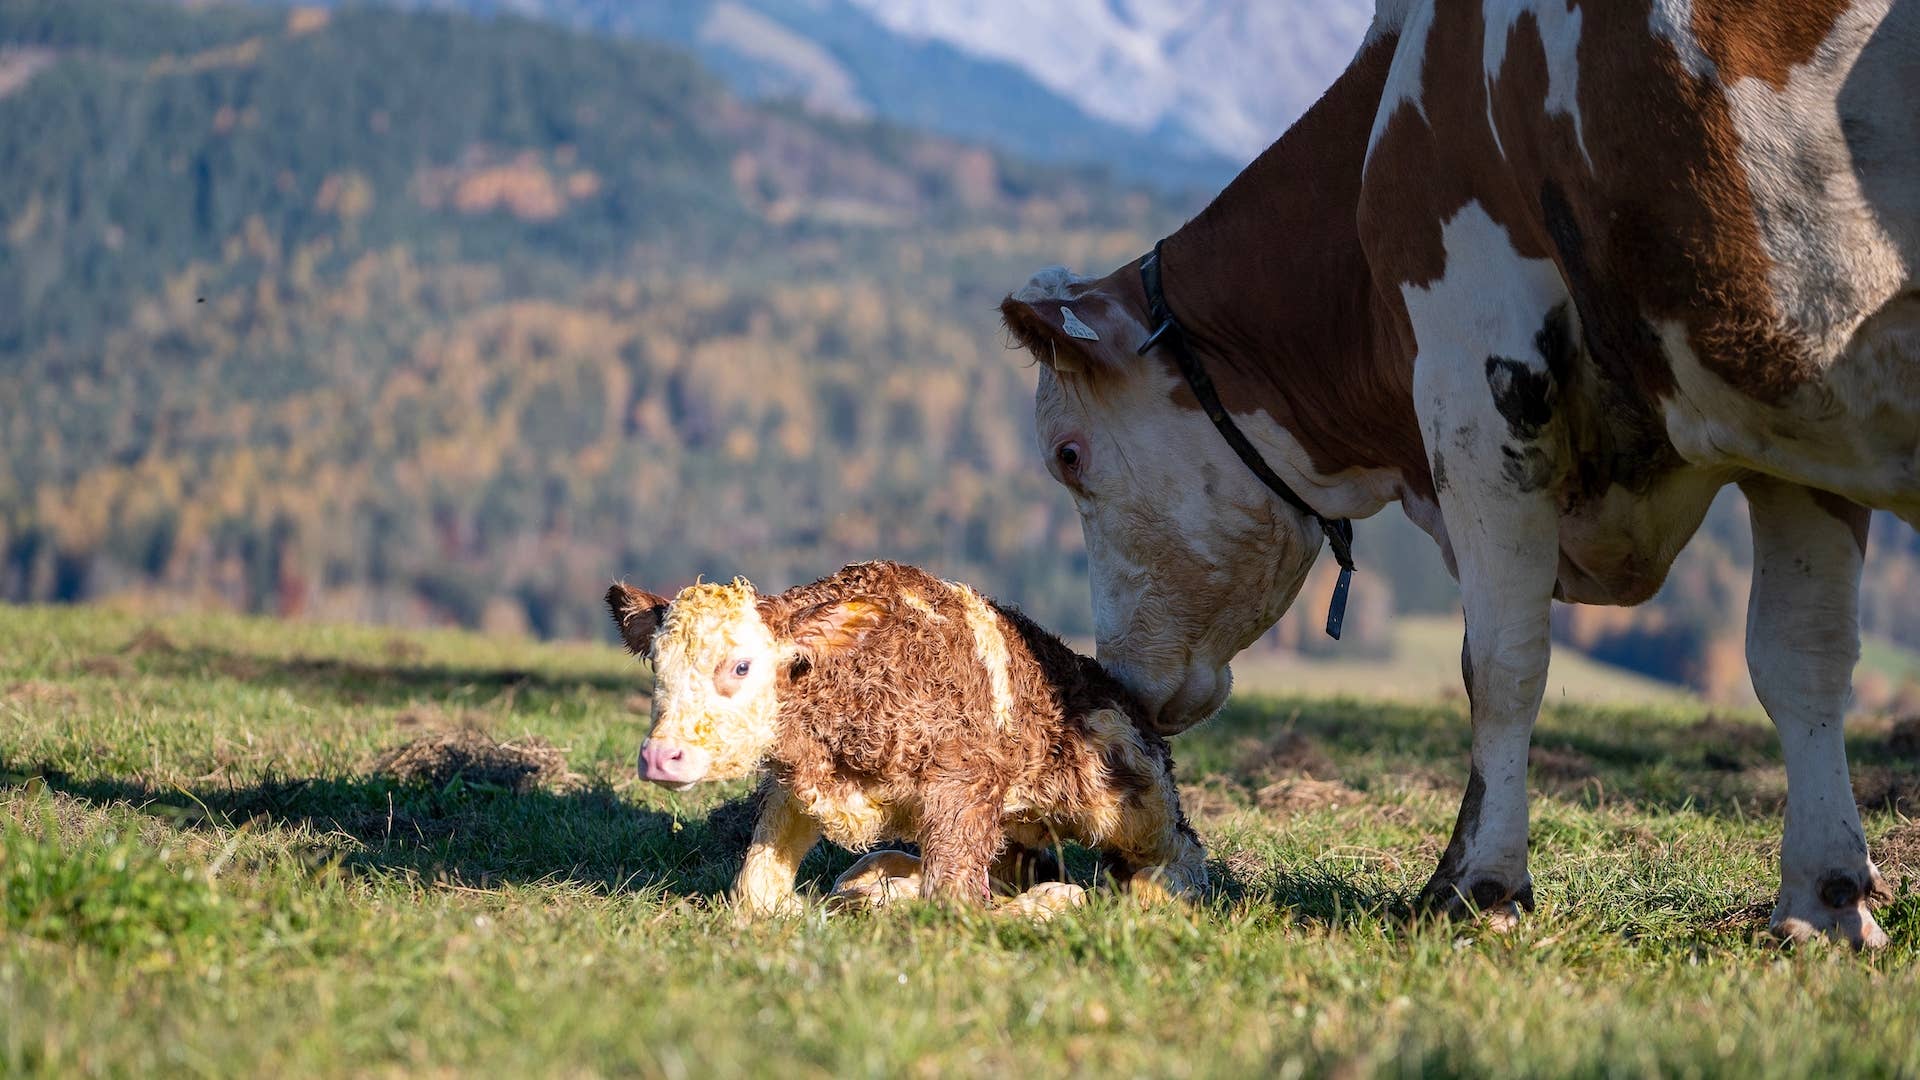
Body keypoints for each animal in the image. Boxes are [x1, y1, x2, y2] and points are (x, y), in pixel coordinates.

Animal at [606, 562, 1207, 918]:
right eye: (657, 665)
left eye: (740, 666)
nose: (660, 756)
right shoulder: (800, 780)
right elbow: (757, 890)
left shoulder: (967, 785)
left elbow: (955, 905)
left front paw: (1056, 902)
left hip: (1128, 792)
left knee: (1183, 854)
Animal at [999, 0, 1917, 947]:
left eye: (1068, 455)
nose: (1116, 680)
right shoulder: (1793, 422)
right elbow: (1802, 658)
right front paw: (1825, 903)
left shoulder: (1477, 381)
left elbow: (1503, 663)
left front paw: (1480, 885)